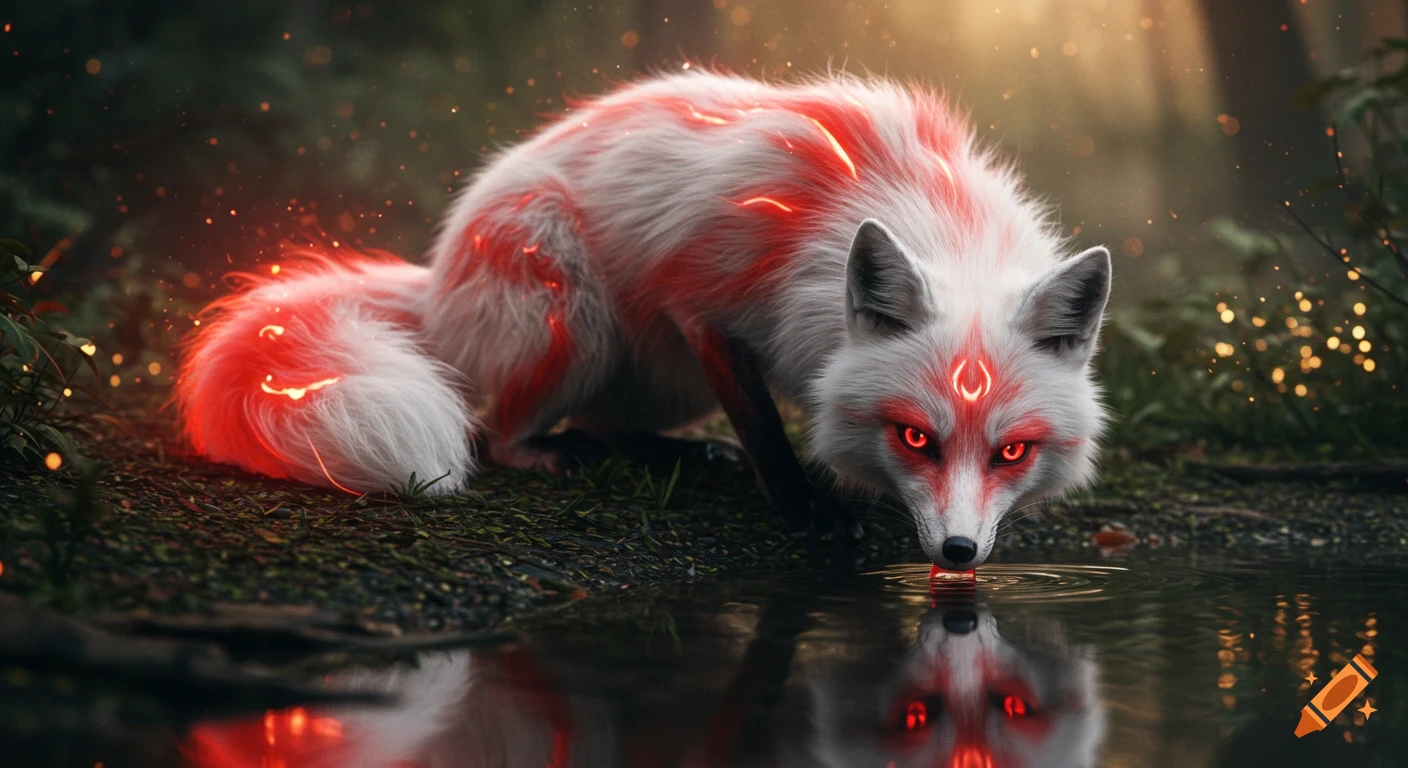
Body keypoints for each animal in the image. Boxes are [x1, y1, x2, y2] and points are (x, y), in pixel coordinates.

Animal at [175, 70, 1112, 569]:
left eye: (1013, 453)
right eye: (917, 436)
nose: (957, 556)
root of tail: (436, 279)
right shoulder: (702, 302)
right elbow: (767, 429)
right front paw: (807, 510)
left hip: (658, 379)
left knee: (611, 421)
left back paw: (680, 453)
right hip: (574, 324)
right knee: (497, 434)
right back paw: (557, 453)